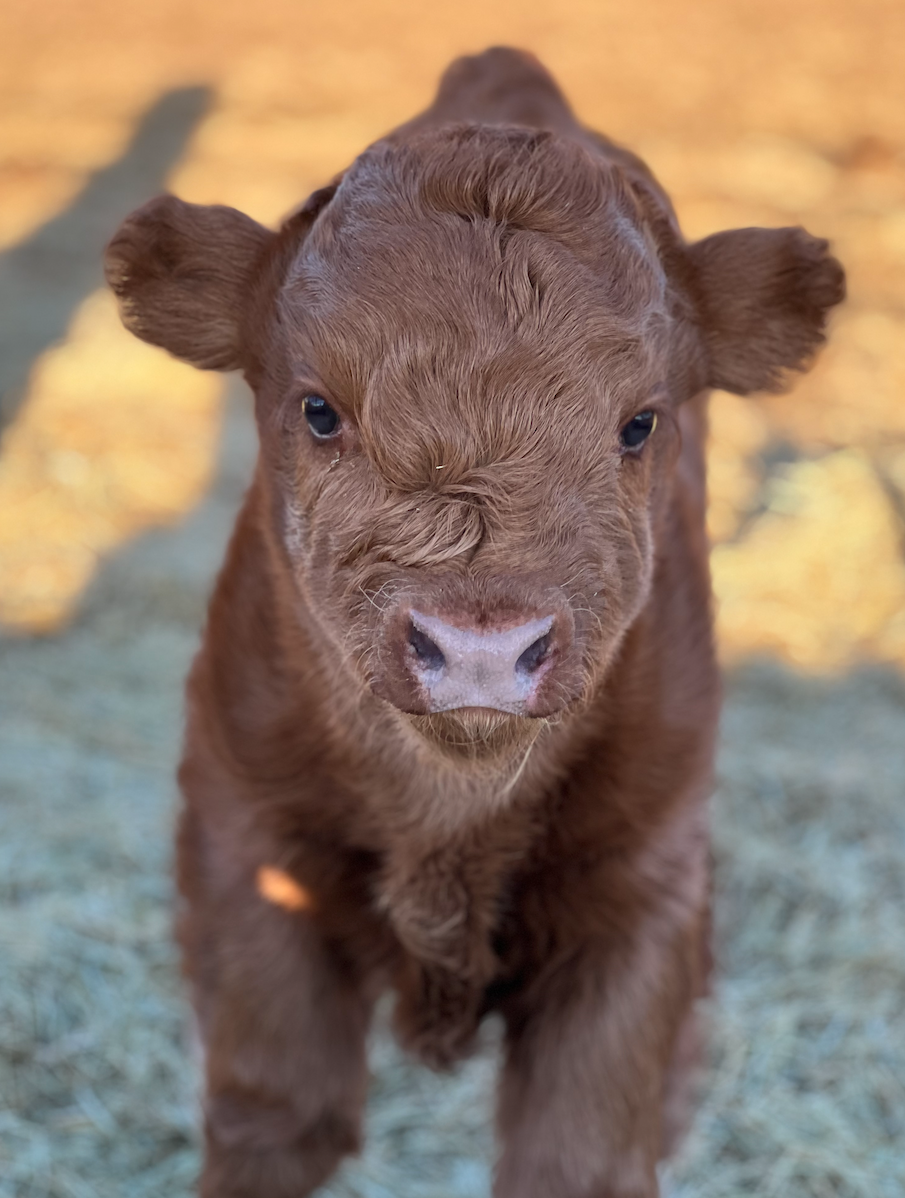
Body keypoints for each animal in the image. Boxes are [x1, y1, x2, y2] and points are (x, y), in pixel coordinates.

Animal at [105, 46, 844, 1198]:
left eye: (640, 422)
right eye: (319, 409)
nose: (481, 650)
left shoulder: (646, 891)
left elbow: (581, 1152)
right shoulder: (244, 849)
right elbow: (275, 1115)